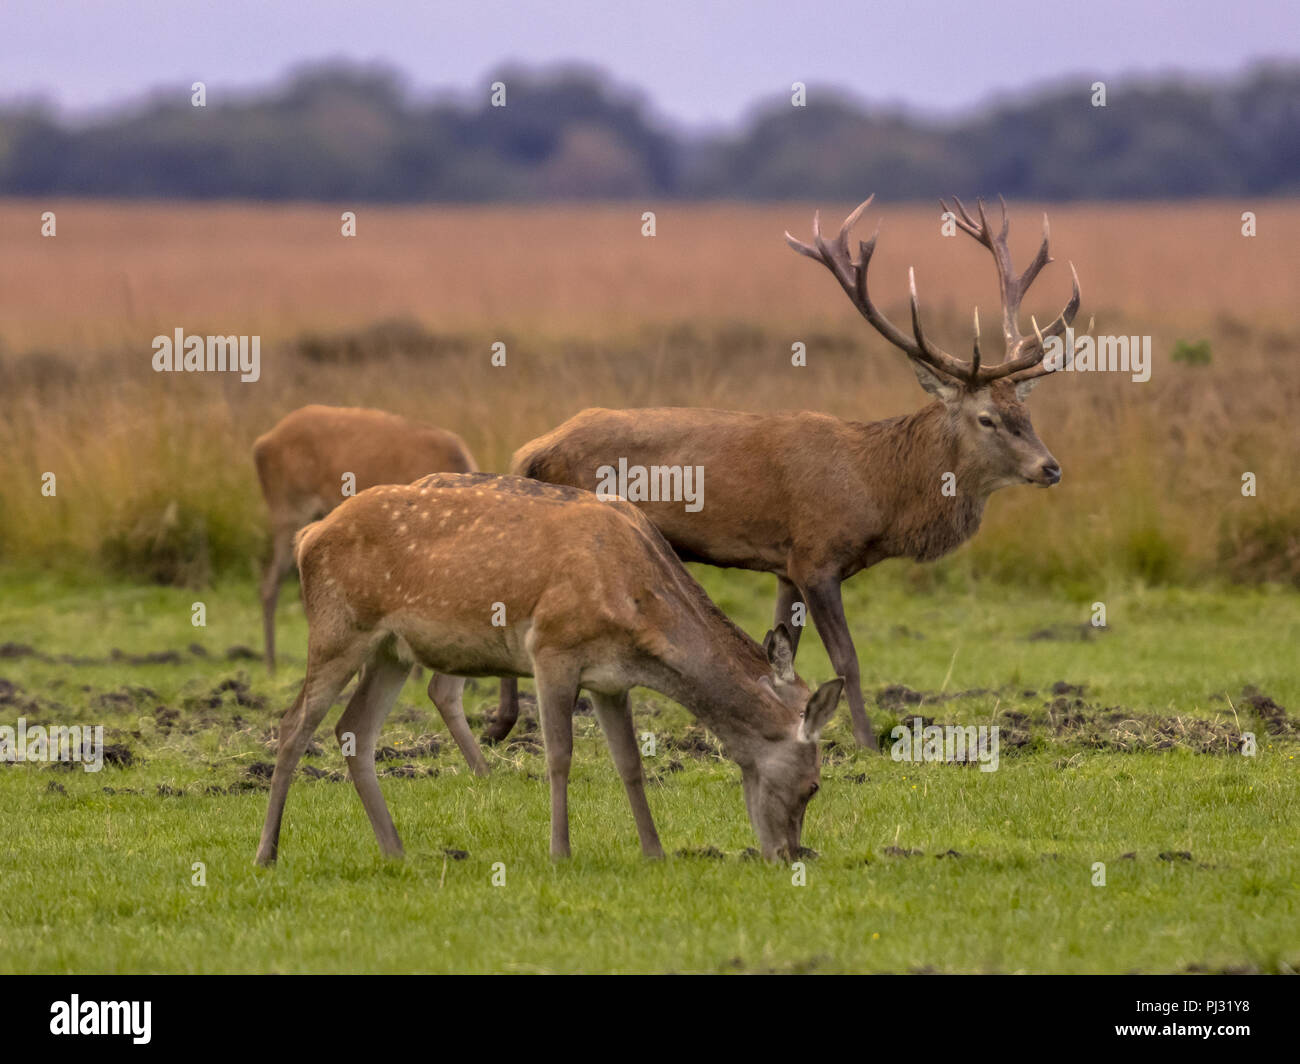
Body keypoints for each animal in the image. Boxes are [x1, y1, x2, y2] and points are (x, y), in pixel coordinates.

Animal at [253, 472, 843, 866]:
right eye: (814, 784)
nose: (789, 854)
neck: (636, 606)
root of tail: (308, 537)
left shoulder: (611, 681)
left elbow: (630, 762)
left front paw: (653, 852)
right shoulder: (552, 649)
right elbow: (559, 755)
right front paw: (561, 851)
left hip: (391, 651)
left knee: (352, 729)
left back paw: (397, 851)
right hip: (337, 628)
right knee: (294, 724)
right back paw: (267, 853)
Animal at [491, 195, 1083, 749]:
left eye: (1025, 414)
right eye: (987, 418)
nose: (1051, 467)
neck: (877, 492)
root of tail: (531, 451)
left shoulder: (784, 565)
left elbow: (783, 649)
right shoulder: (816, 555)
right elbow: (847, 657)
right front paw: (866, 742)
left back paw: (502, 723)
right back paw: (505, 722)